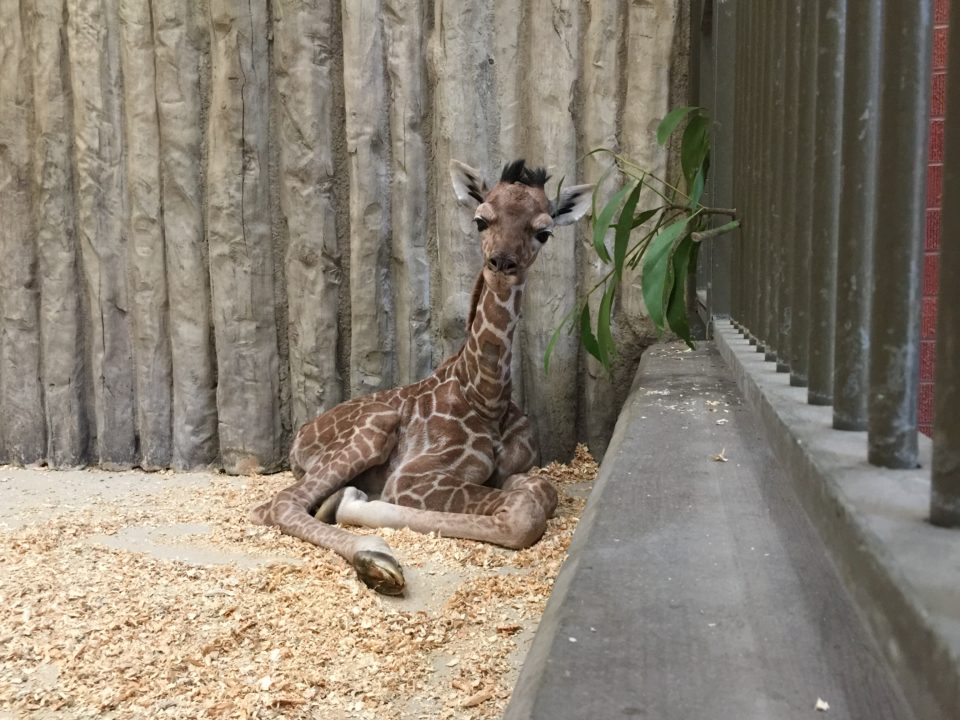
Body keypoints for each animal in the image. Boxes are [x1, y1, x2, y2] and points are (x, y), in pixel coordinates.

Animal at [251, 159, 593, 595]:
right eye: (481, 220)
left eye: (543, 232)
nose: (502, 263)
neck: (487, 396)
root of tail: (299, 437)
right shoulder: (412, 479)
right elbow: (522, 515)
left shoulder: (521, 467)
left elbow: (537, 487)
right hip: (375, 428)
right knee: (277, 504)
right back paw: (374, 557)